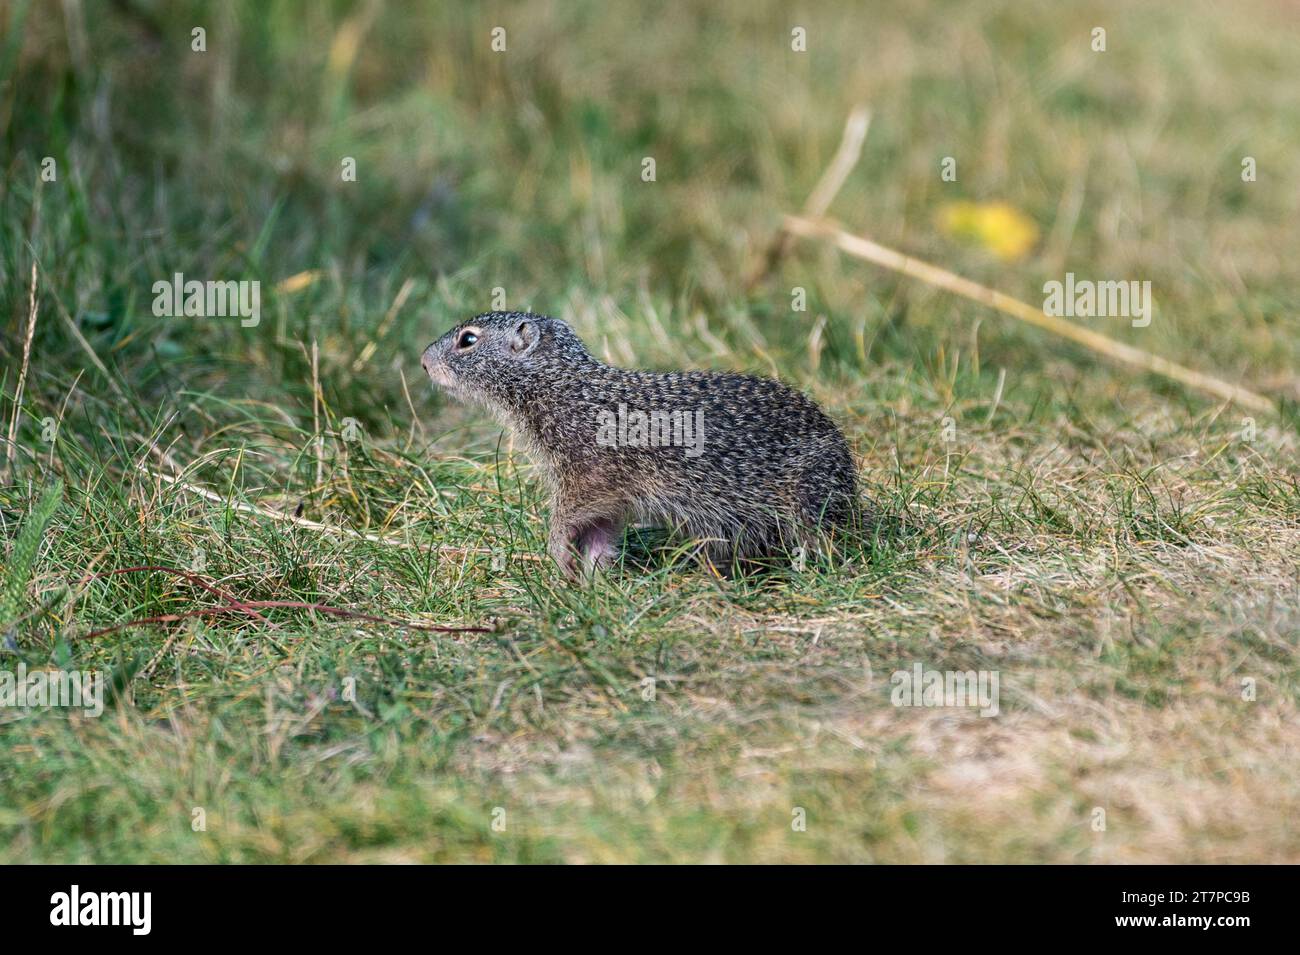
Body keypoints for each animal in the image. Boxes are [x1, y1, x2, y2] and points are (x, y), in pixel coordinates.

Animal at [421, 311, 859, 578]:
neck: (565, 389)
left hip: (806, 498)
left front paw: (557, 555)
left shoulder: (589, 476)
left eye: (467, 339)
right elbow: (600, 535)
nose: (424, 362)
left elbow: (568, 518)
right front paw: (593, 581)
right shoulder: (609, 495)